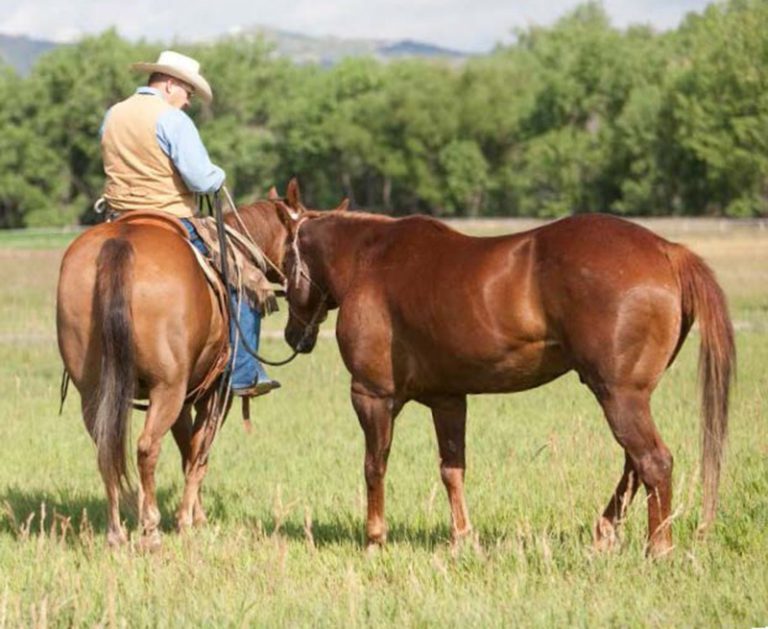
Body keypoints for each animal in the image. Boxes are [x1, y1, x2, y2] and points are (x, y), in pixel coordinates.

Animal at [56, 182, 298, 549]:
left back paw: (116, 533)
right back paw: (151, 529)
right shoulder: (214, 394)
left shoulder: (185, 398)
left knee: (107, 449)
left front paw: (195, 515)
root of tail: (120, 242)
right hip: (166, 388)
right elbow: (199, 452)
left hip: (96, 391)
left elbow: (186, 450)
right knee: (146, 447)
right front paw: (189, 520)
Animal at [276, 204, 735, 557]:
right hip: (628, 397)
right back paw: (606, 534)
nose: (293, 335)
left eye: (285, 262)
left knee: (653, 462)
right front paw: (462, 540)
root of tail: (666, 250)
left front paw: (374, 540)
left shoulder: (371, 395)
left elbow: (375, 466)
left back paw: (657, 549)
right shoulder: (448, 398)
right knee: (635, 465)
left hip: (620, 396)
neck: (370, 262)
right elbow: (452, 469)